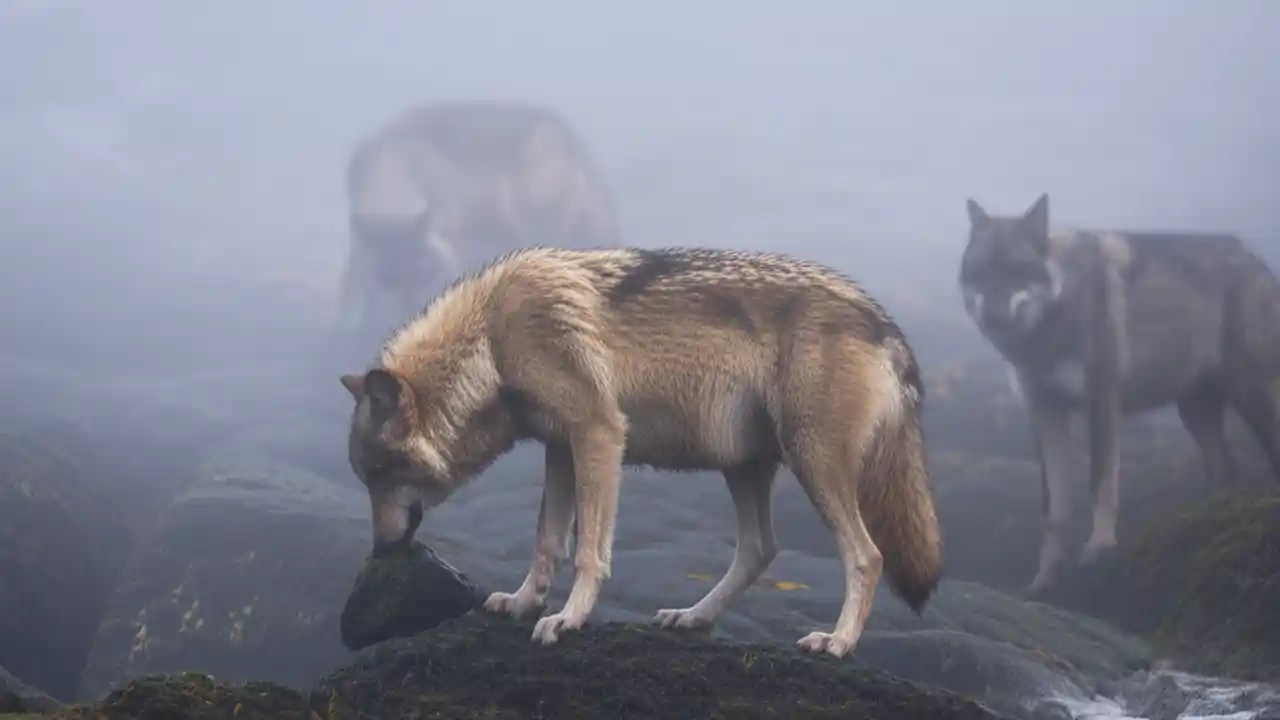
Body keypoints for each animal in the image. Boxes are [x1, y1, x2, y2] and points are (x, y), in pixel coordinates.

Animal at [338, 246, 943, 658]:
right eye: (366, 479)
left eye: (381, 474)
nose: (379, 550)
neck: (492, 336)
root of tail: (886, 324)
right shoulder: (560, 448)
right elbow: (546, 542)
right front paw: (523, 602)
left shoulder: (600, 435)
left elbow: (588, 551)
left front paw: (568, 619)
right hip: (742, 464)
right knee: (760, 550)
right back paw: (693, 617)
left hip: (812, 461)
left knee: (867, 556)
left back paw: (837, 642)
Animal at [960, 193, 1280, 592]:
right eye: (981, 272)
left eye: (1016, 270)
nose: (994, 318)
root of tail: (1256, 260)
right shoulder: (1045, 414)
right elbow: (1053, 508)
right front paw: (1046, 576)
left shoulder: (1102, 403)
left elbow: (1099, 482)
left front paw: (1098, 548)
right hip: (1195, 413)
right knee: (1226, 471)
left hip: (1253, 398)